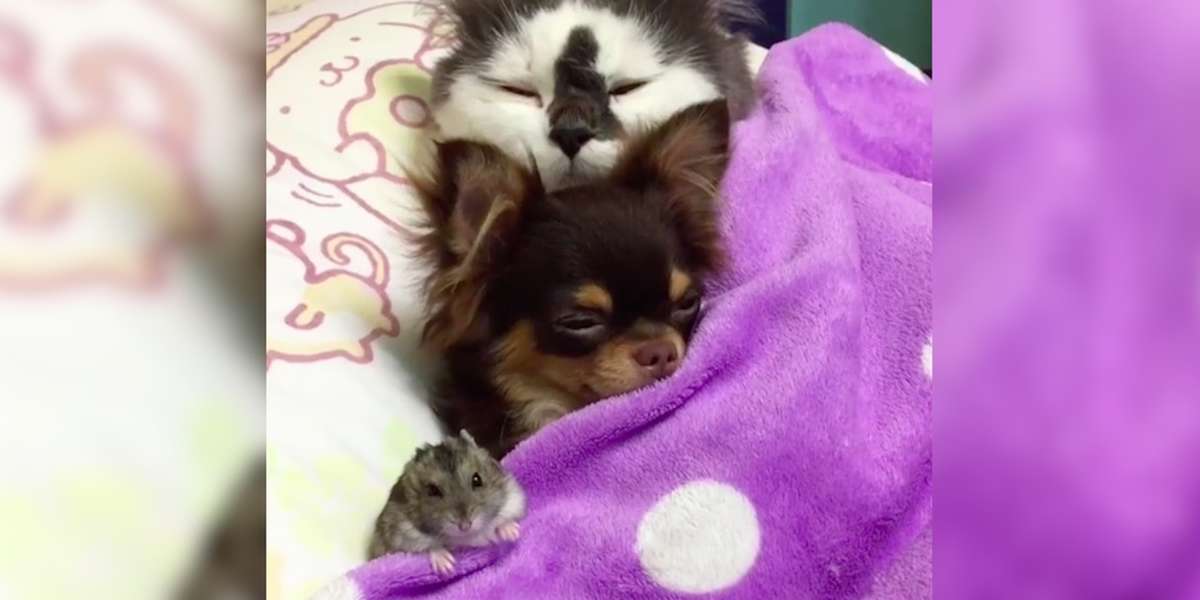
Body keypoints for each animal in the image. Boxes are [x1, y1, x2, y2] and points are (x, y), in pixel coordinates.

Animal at [367, 430, 526, 574]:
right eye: (432, 490)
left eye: (477, 479)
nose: (465, 526)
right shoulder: (400, 535)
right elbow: (430, 547)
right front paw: (447, 566)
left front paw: (513, 533)